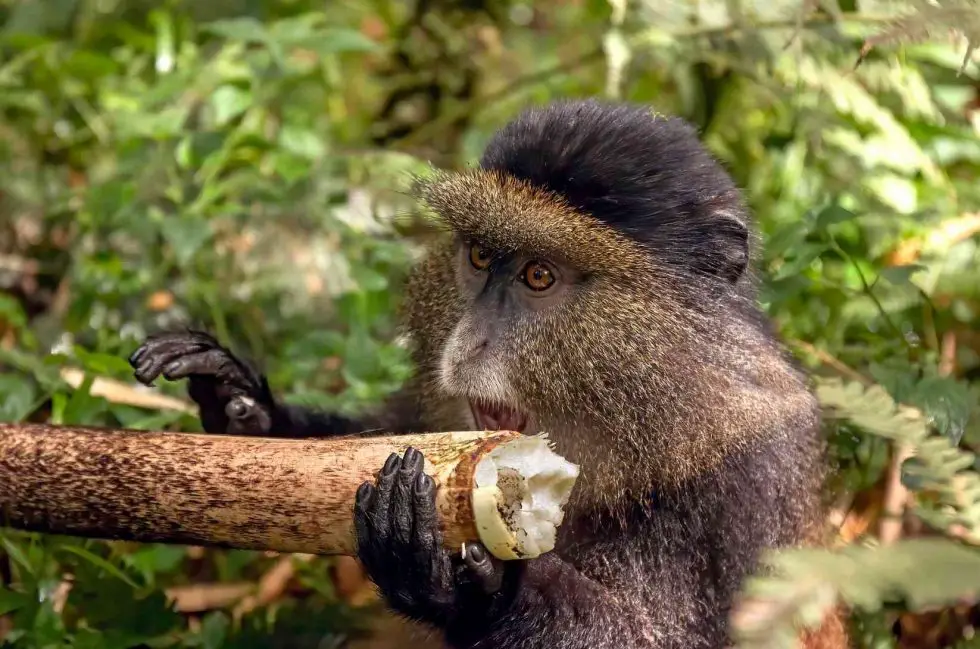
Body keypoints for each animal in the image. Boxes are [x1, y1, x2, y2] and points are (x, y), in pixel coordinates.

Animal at [130, 99, 848, 649]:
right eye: (479, 256)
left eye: (540, 275)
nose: (466, 344)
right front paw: (240, 401)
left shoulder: (747, 478)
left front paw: (471, 589)